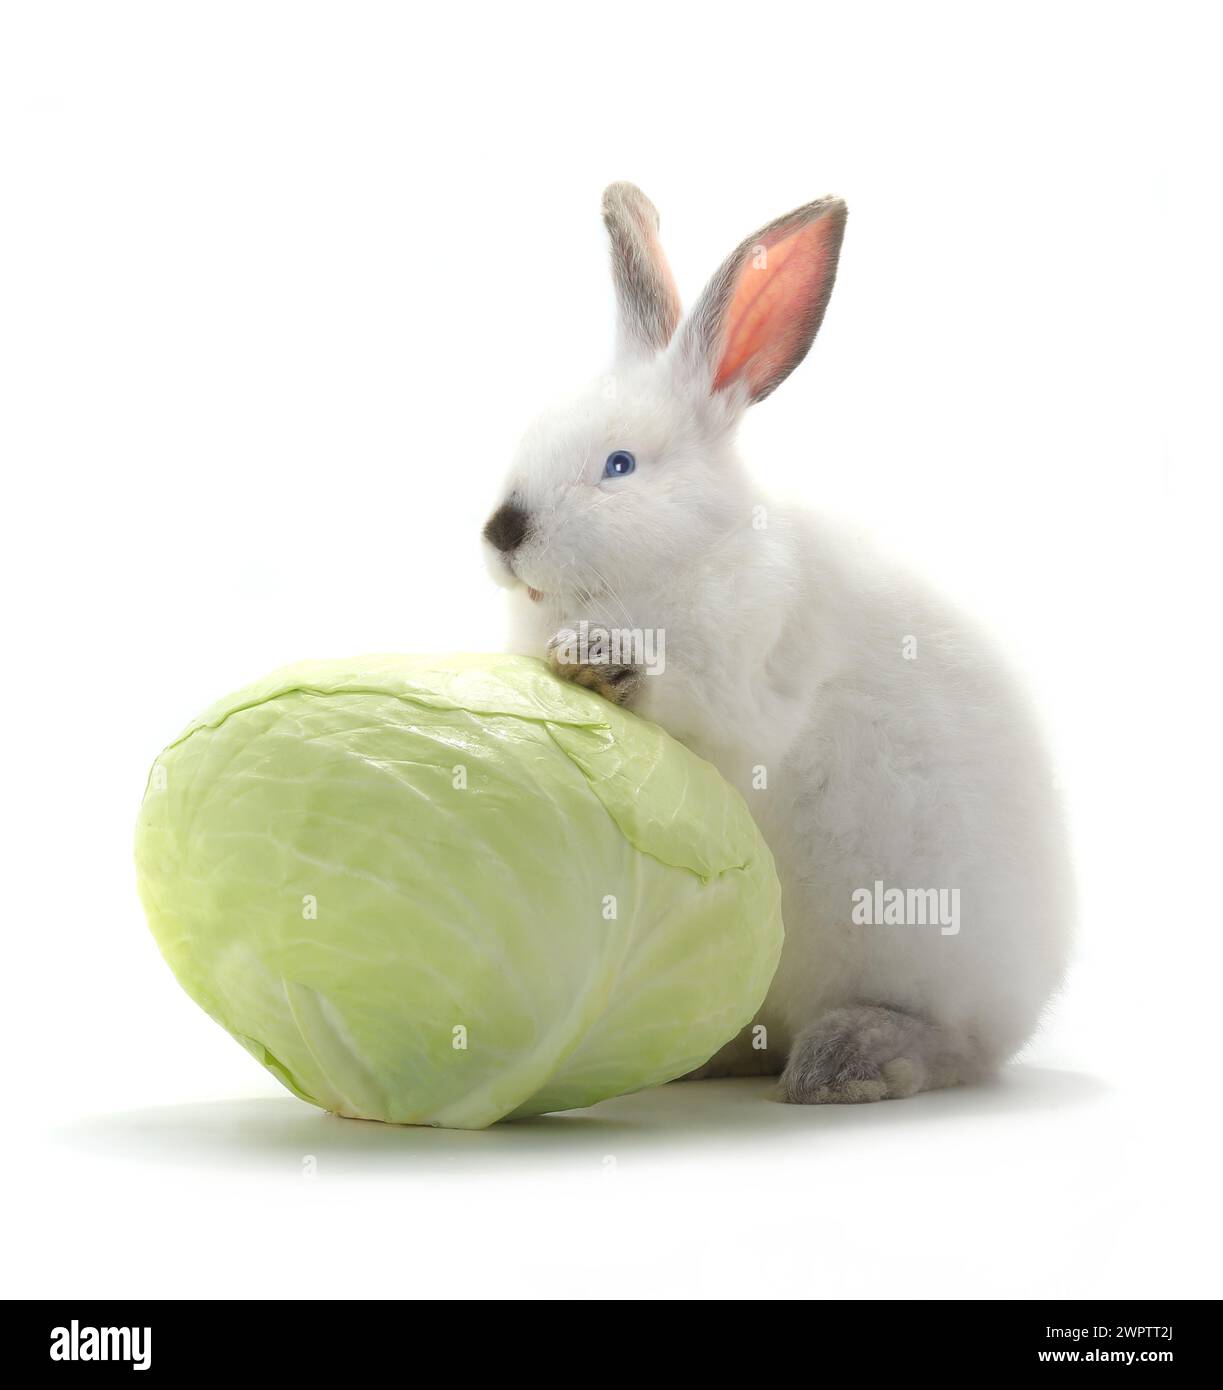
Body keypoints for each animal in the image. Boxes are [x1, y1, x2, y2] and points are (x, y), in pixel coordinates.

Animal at [482, 182, 1072, 1103]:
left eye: (619, 466)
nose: (502, 531)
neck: (682, 557)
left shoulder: (750, 678)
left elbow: (698, 702)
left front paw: (599, 661)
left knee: (958, 1045)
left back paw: (849, 1057)